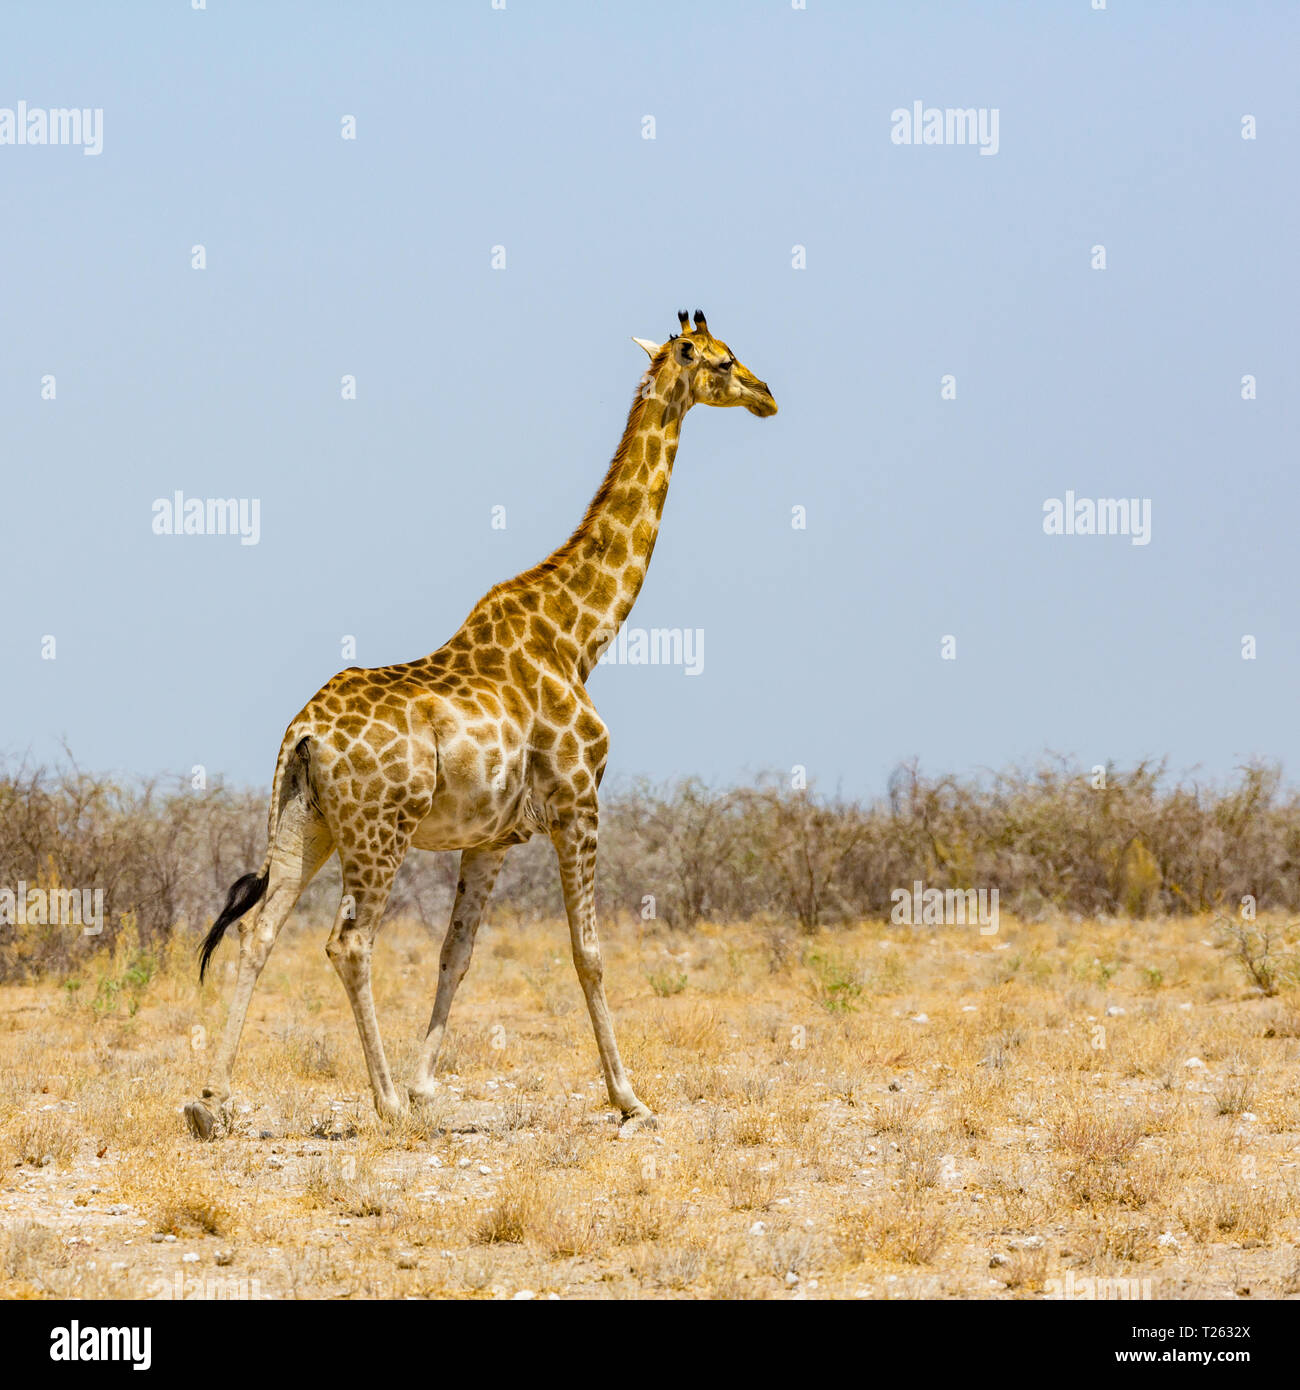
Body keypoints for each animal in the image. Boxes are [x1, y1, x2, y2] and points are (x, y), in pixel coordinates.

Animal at [184, 310, 777, 1141]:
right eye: (722, 362)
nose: (768, 395)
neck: (579, 634)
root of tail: (301, 734)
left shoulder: (493, 836)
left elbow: (456, 953)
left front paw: (427, 1087)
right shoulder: (578, 801)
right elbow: (588, 951)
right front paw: (630, 1098)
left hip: (308, 820)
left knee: (259, 930)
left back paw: (212, 1102)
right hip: (380, 830)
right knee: (349, 942)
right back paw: (380, 1103)